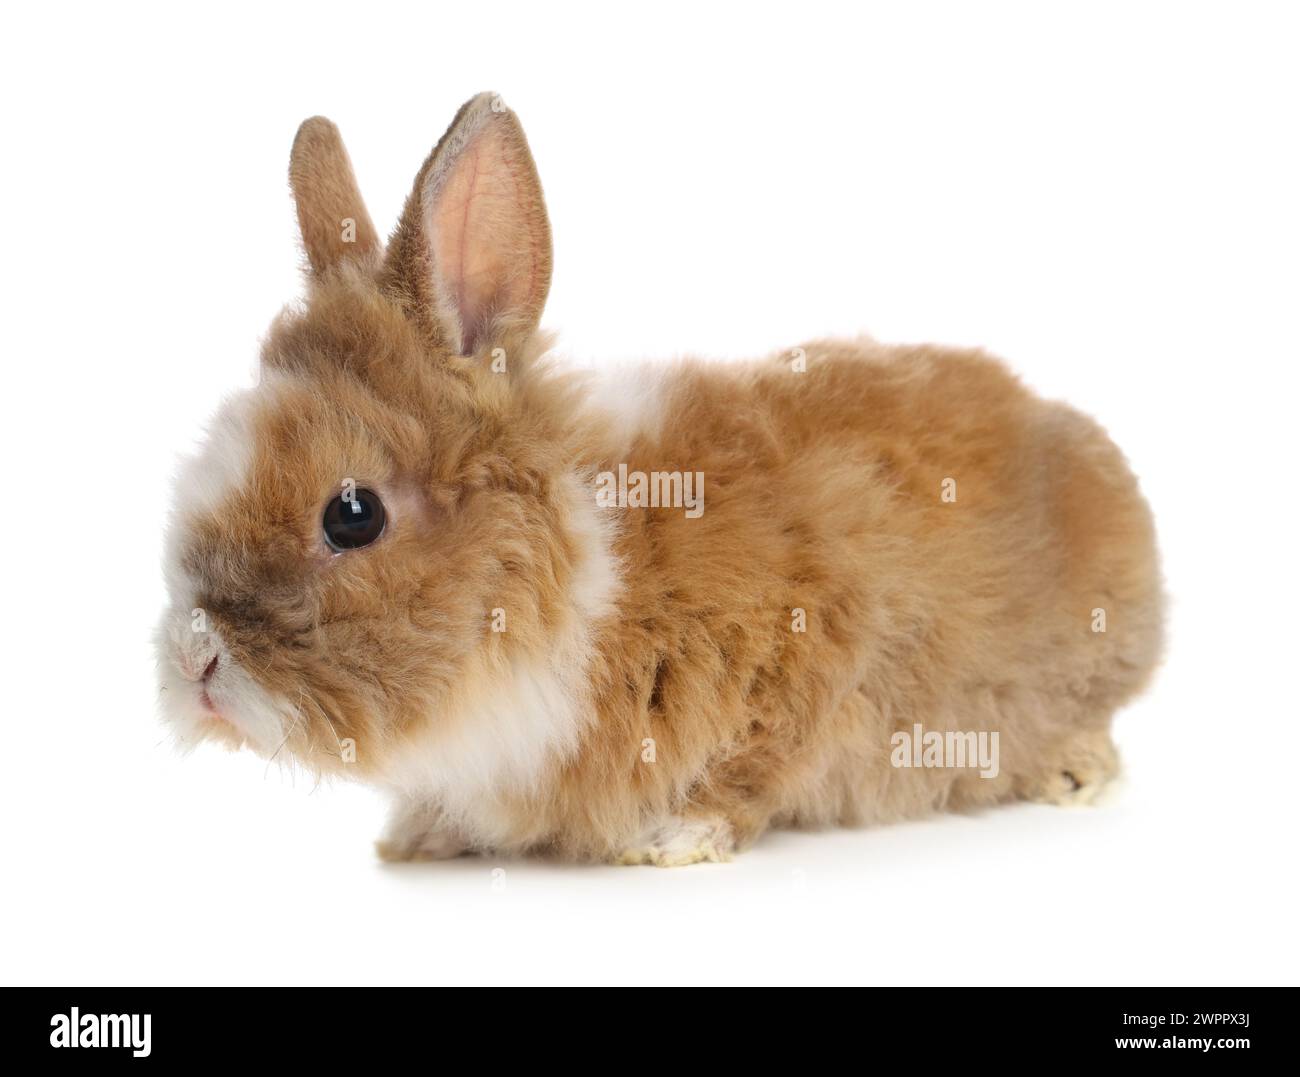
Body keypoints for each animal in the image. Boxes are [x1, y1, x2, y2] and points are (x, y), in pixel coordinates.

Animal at [156, 92, 1163, 866]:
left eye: (353, 514)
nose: (197, 658)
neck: (593, 585)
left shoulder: (822, 641)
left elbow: (755, 765)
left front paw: (675, 837)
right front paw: (419, 835)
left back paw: (1072, 774)